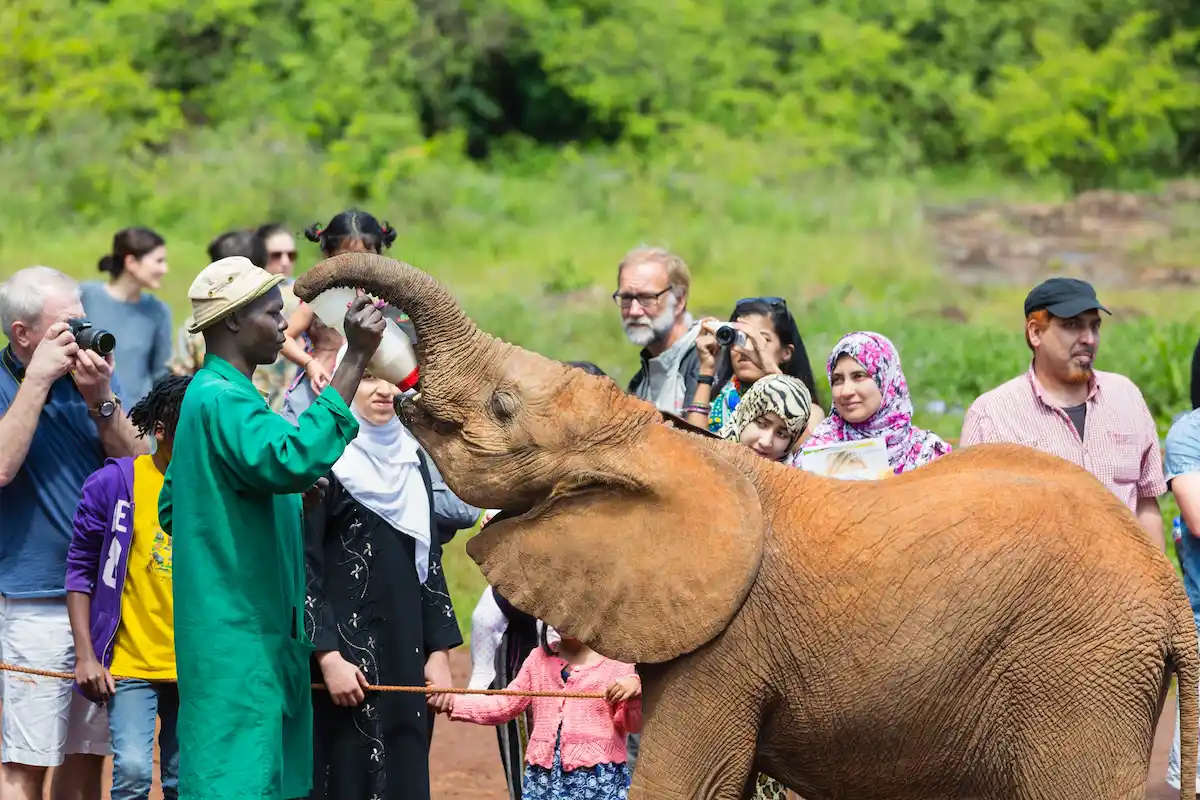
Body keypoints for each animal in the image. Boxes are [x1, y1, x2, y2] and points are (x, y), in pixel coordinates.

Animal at [295, 252, 1199, 800]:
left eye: (504, 405)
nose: (311, 296)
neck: (660, 441)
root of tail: (1167, 591)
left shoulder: (727, 648)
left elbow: (682, 780)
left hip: (1081, 665)